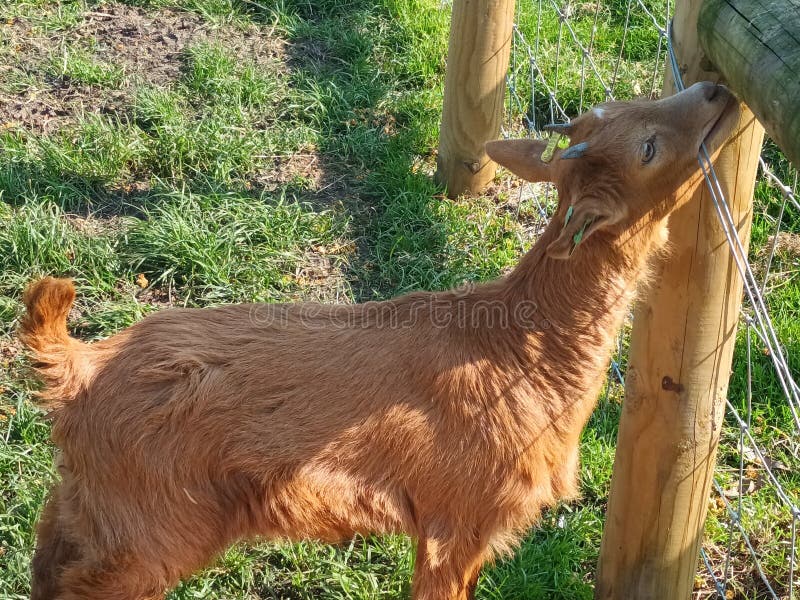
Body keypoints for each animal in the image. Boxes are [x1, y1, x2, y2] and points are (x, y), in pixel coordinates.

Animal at [21, 81, 737, 600]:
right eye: (649, 148)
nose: (714, 91)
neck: (523, 346)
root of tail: (78, 367)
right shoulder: (460, 519)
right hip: (151, 529)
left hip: (93, 503)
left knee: (46, 560)